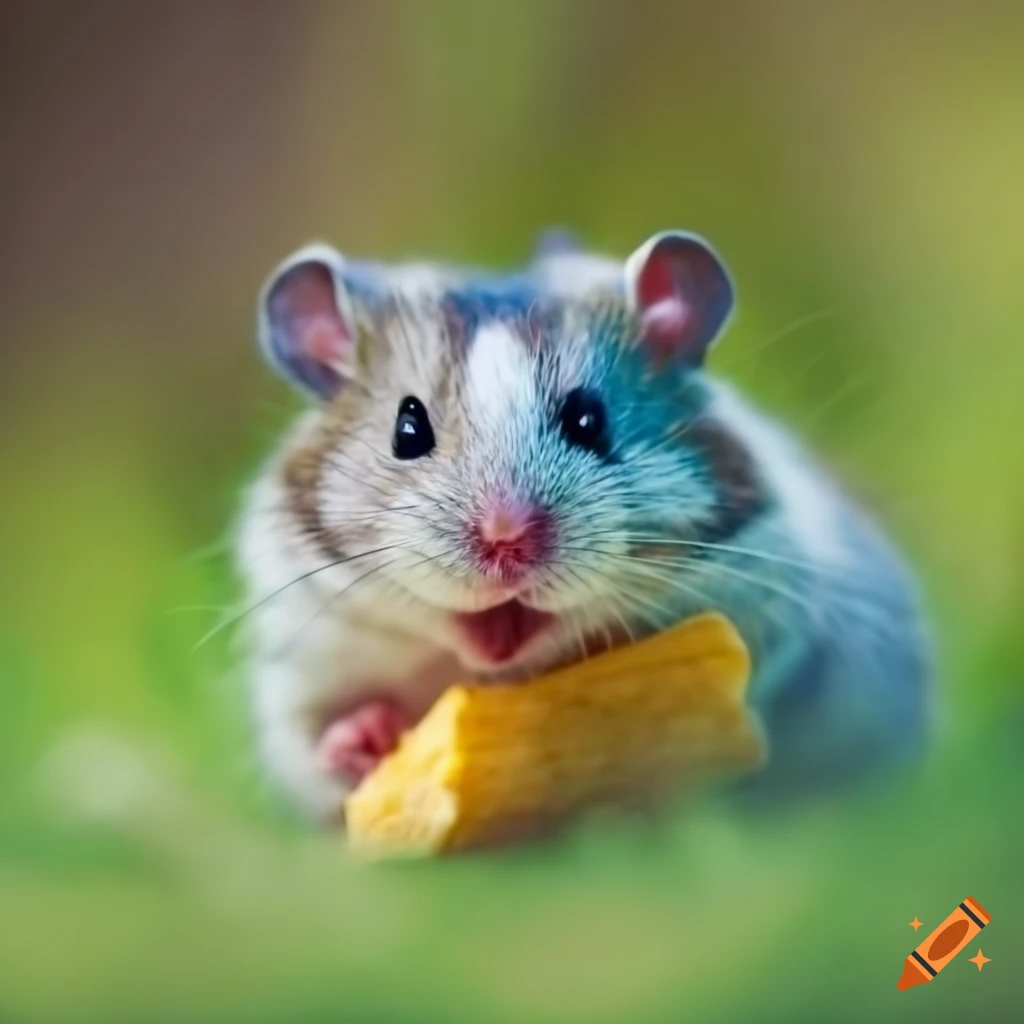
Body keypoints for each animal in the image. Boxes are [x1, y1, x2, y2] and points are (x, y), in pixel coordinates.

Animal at [234, 229, 931, 823]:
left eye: (589, 421)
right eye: (407, 429)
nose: (506, 538)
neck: (497, 674)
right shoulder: (298, 675)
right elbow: (315, 747)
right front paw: (368, 736)